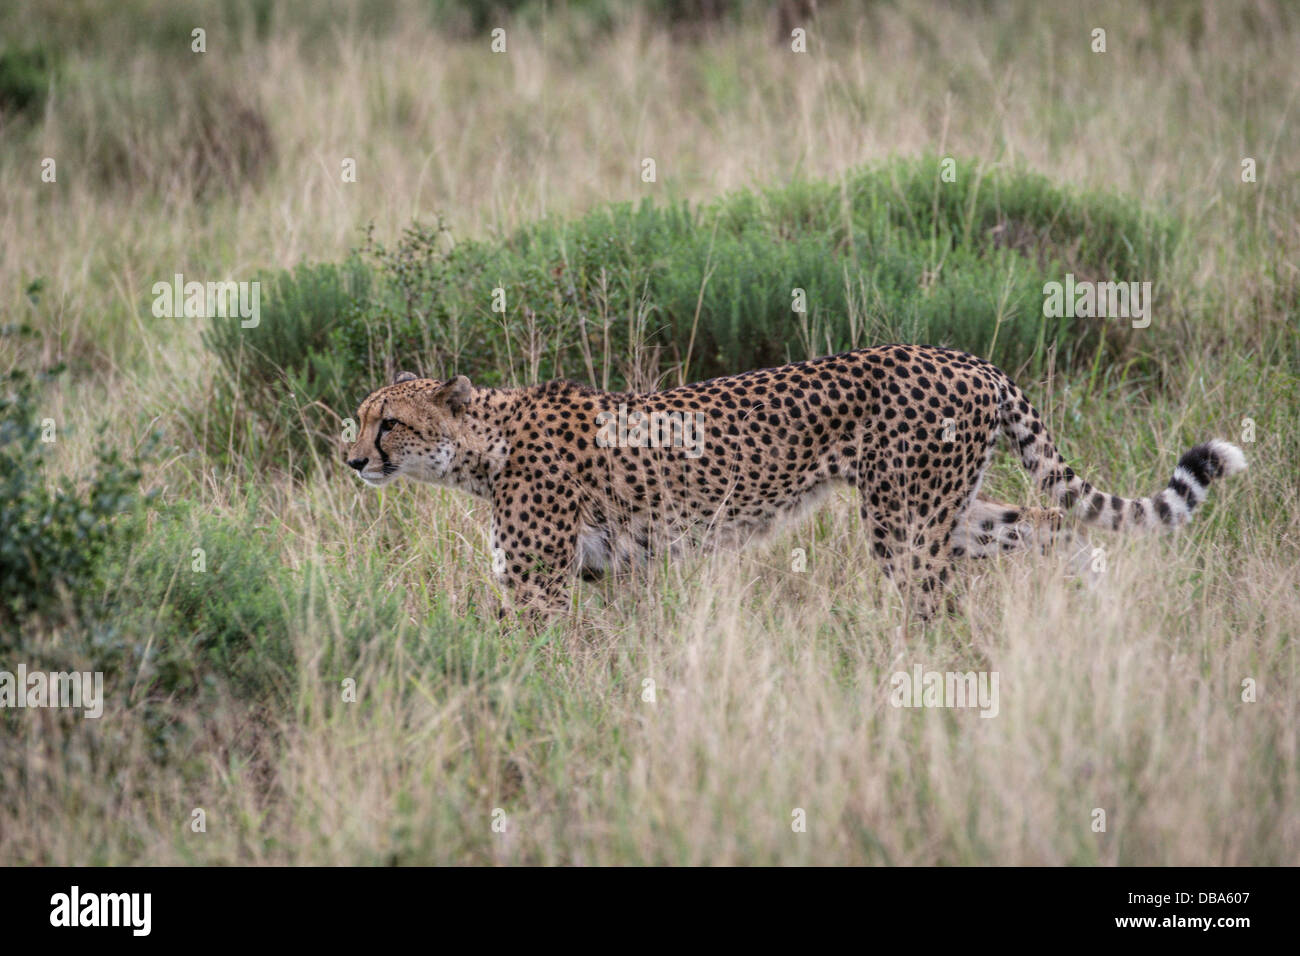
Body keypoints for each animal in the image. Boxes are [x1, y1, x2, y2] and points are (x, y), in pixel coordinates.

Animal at [344, 345, 1246, 623]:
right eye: (359, 417)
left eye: (387, 423)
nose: (352, 461)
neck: (483, 443)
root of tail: (968, 358)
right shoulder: (598, 575)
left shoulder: (537, 583)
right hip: (944, 512)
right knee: (1055, 527)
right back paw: (1091, 609)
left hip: (904, 523)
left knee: (938, 605)